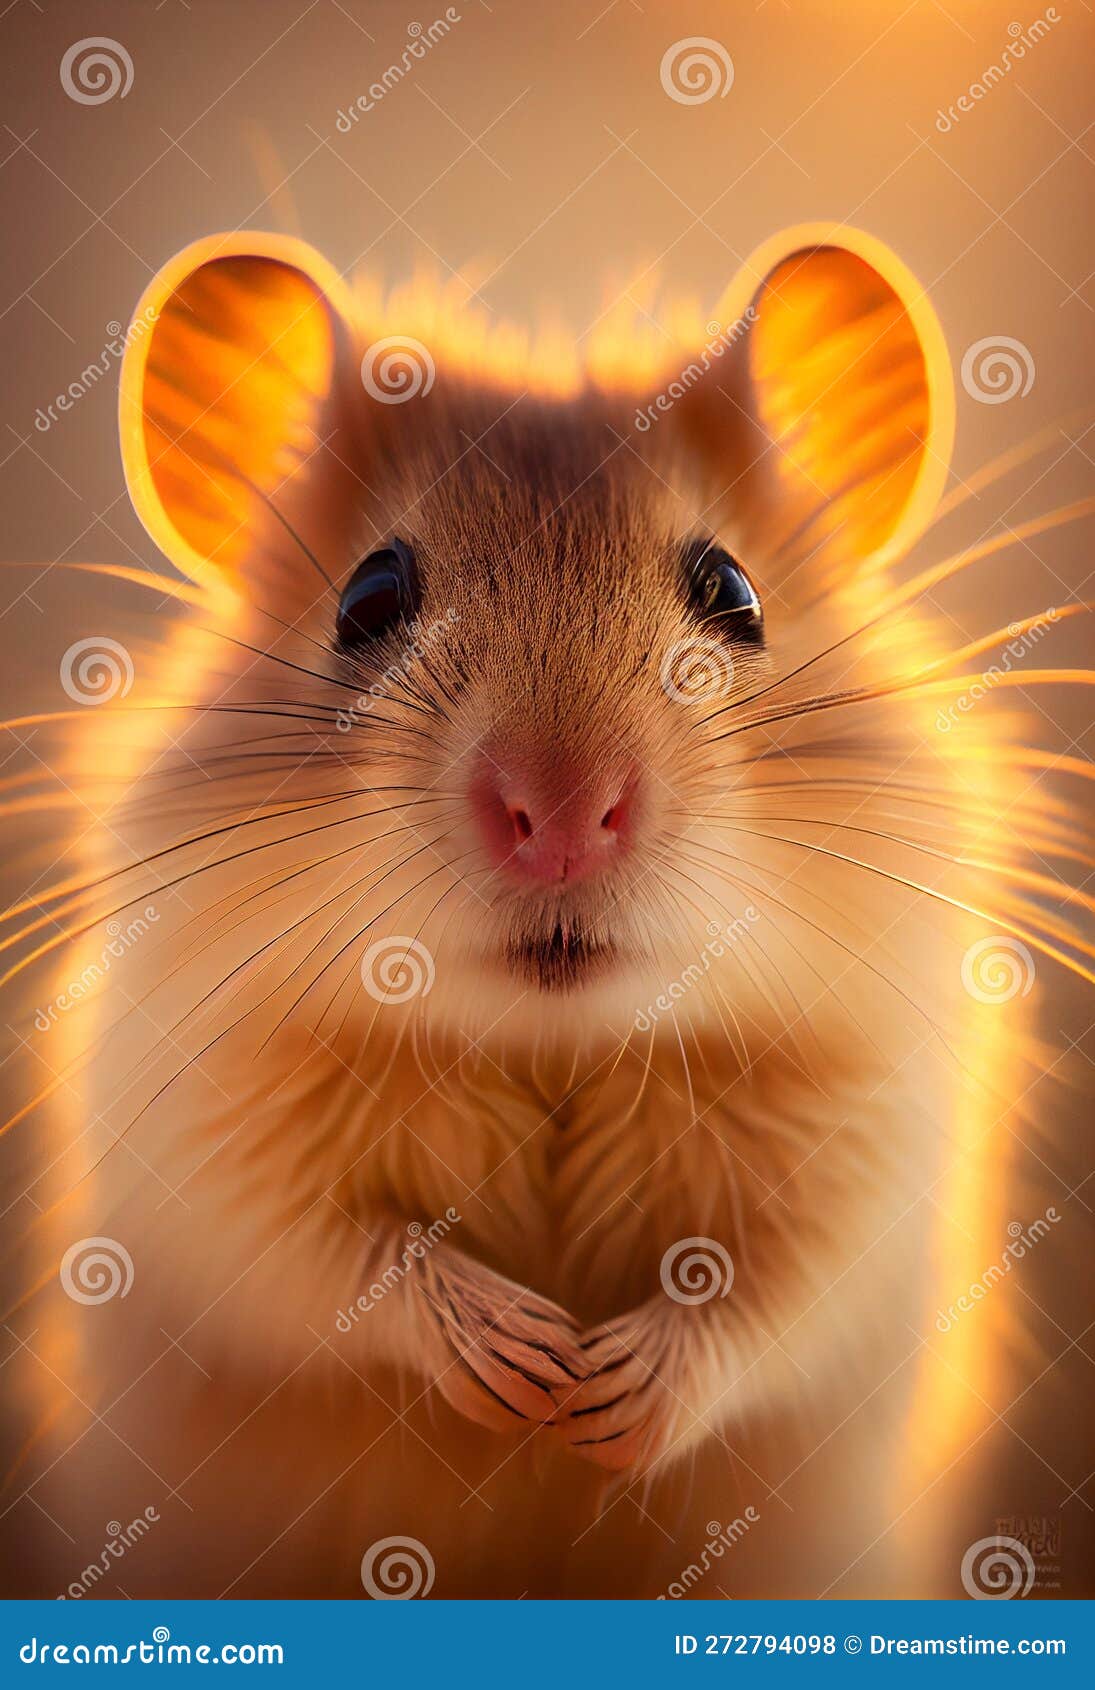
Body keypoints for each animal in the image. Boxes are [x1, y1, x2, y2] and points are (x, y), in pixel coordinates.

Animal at [5, 224, 1087, 1598]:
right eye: (367, 600)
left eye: (733, 592)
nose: (562, 813)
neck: (553, 1046)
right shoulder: (206, 1150)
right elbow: (347, 1267)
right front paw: (530, 1364)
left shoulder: (870, 1151)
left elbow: (760, 1301)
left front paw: (600, 1393)